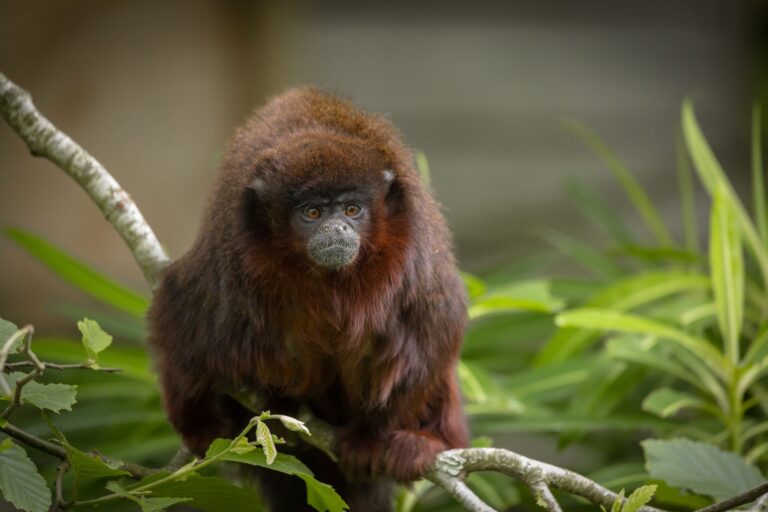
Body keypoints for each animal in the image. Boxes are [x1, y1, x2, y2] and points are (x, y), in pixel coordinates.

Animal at [147, 87, 469, 511]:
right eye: (312, 213)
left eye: (352, 209)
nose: (337, 228)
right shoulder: (225, 261)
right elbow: (182, 323)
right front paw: (197, 422)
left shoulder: (417, 263)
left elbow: (429, 336)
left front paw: (370, 436)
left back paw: (425, 441)